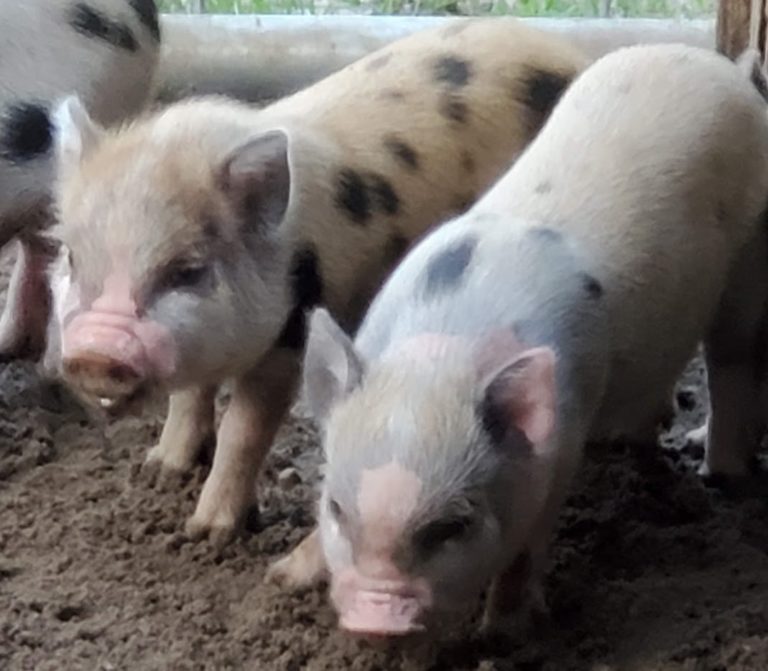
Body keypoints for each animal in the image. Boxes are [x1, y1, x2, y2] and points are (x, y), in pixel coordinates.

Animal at [42, 18, 590, 548]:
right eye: (72, 256)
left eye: (186, 271)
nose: (93, 354)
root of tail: (570, 53)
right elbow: (190, 397)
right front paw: (160, 471)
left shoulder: (290, 337)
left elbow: (245, 429)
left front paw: (208, 535)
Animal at [279, 44, 768, 638]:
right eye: (335, 508)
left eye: (451, 526)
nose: (374, 621)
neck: (441, 359)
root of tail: (720, 64)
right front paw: (283, 577)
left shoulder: (564, 439)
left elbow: (528, 544)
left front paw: (504, 634)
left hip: (752, 257)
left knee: (732, 360)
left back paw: (720, 474)